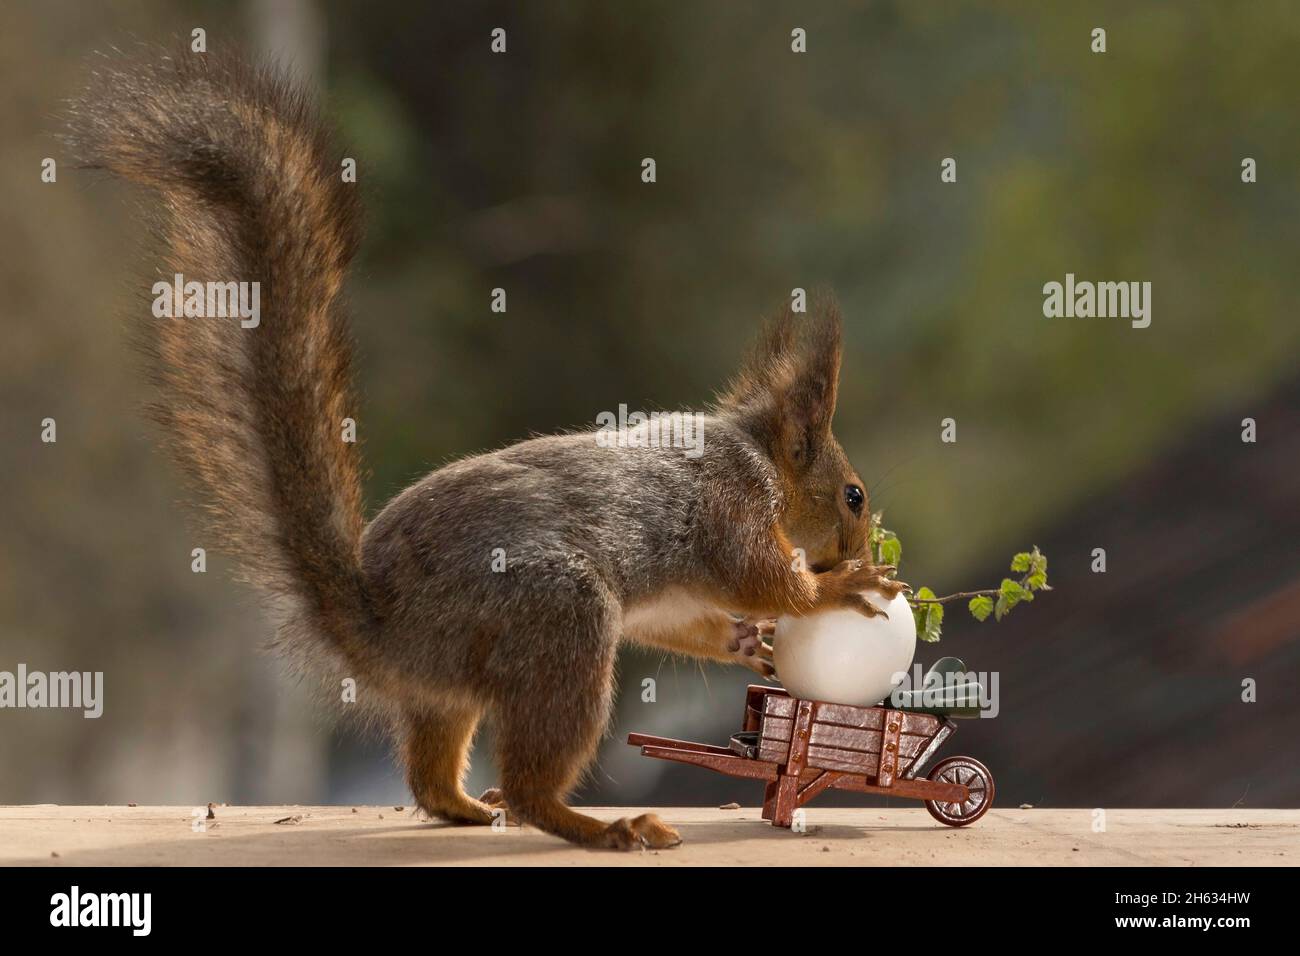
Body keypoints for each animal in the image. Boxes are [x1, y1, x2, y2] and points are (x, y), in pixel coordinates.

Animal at [67, 50, 904, 850]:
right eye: (854, 496)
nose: (861, 546)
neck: (757, 453)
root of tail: (375, 626)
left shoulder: (674, 591)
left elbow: (686, 619)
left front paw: (747, 640)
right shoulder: (729, 506)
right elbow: (759, 576)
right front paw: (837, 587)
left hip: (454, 689)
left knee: (430, 776)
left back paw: (471, 807)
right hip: (554, 618)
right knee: (535, 779)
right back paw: (600, 827)